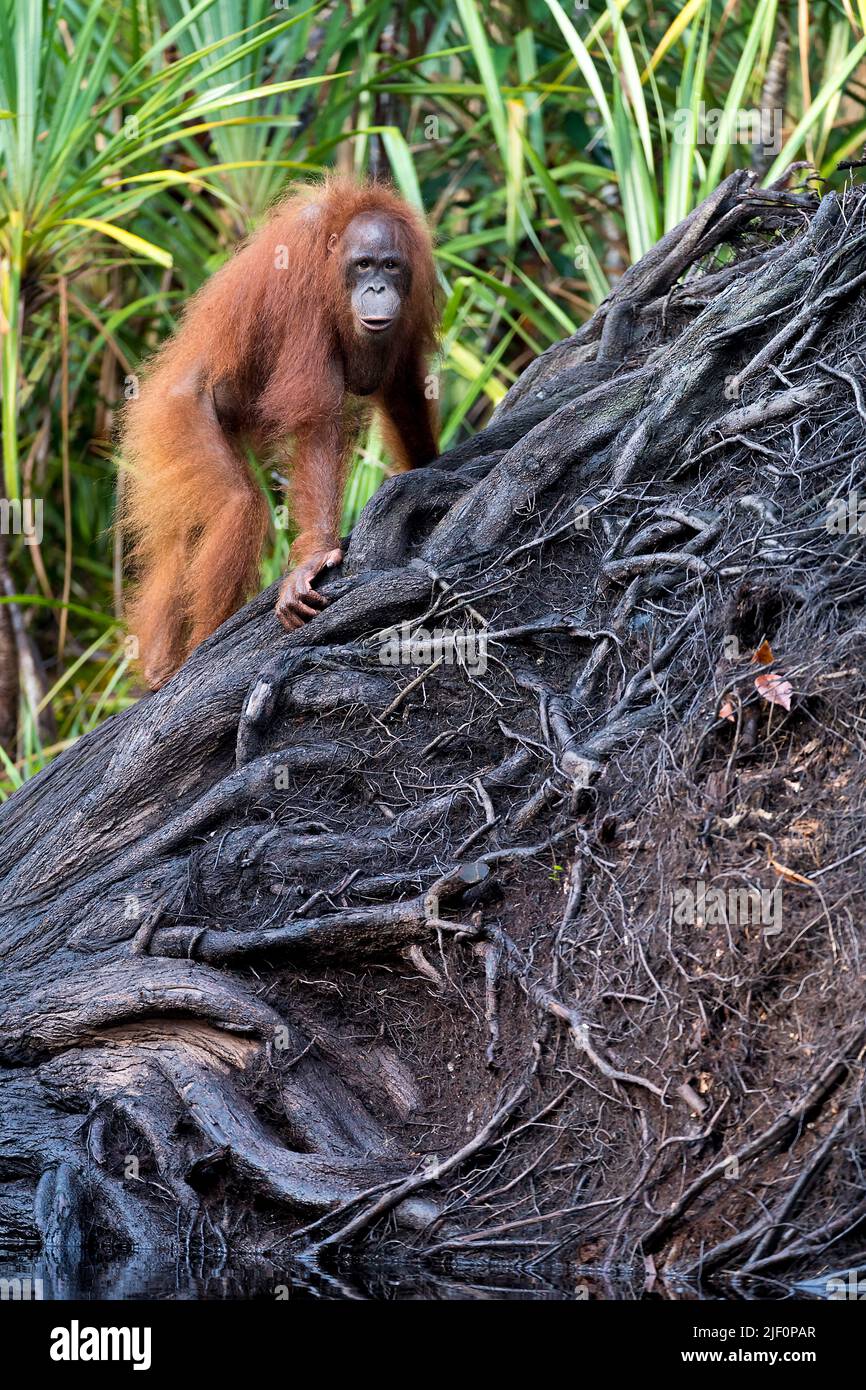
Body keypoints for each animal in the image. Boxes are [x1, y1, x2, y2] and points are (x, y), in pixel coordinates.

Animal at [120, 175, 439, 690]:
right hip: (177, 417)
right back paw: (197, 649)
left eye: (390, 265)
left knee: (179, 536)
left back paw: (157, 663)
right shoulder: (302, 291)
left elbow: (404, 383)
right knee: (237, 504)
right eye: (363, 265)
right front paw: (316, 556)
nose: (376, 287)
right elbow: (315, 419)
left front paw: (427, 468)